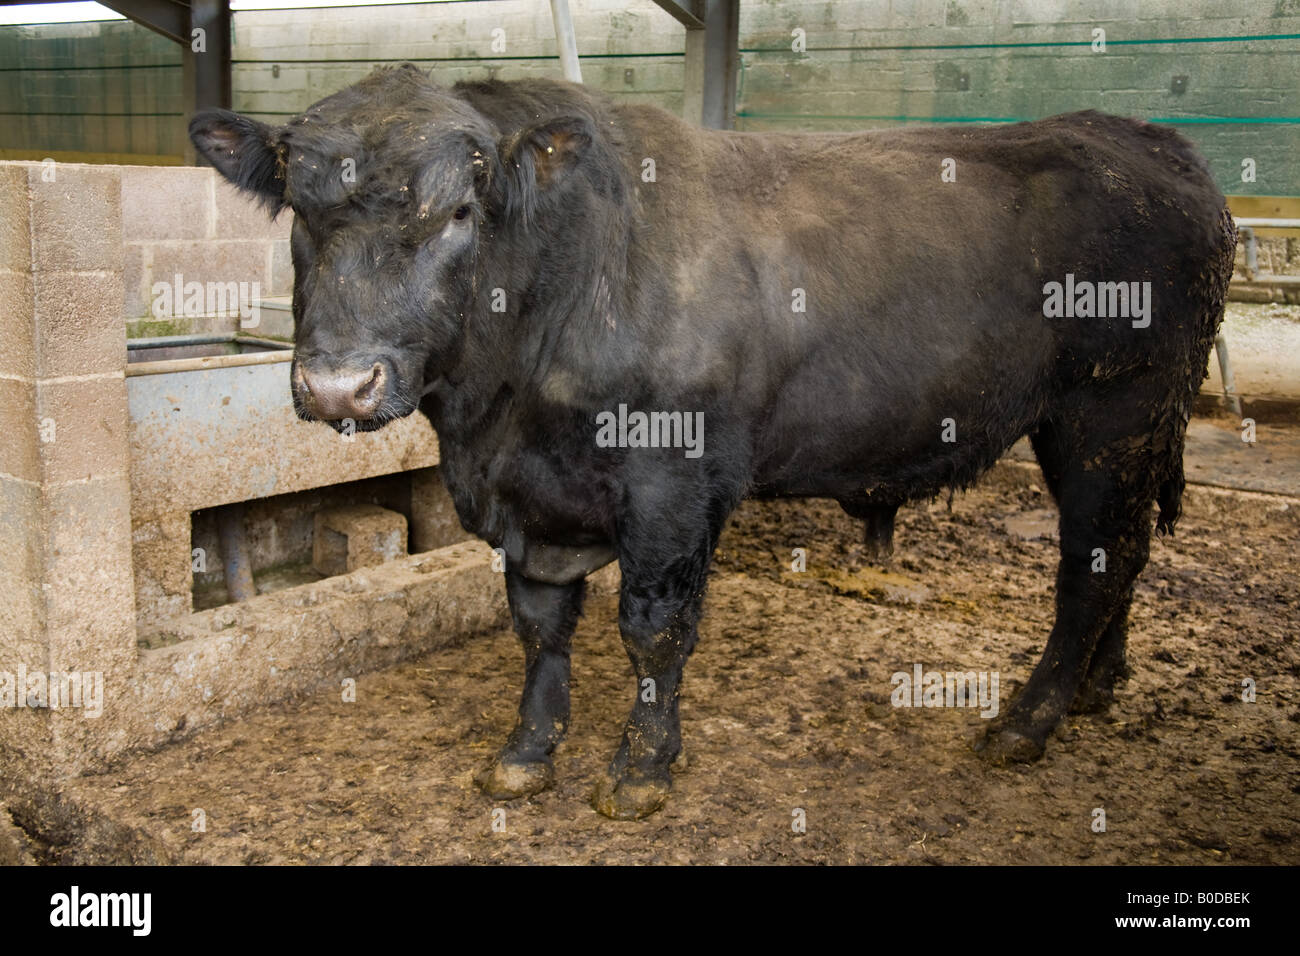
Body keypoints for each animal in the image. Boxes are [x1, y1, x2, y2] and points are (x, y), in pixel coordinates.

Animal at [190, 64, 1236, 820]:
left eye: (456, 212)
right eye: (301, 212)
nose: (338, 384)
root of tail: (1142, 139)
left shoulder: (670, 483)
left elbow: (653, 631)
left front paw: (641, 769)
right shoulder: (529, 496)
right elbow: (539, 624)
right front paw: (526, 753)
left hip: (1113, 414)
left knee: (1094, 566)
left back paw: (1029, 720)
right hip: (1117, 431)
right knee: (1120, 555)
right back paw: (1097, 688)